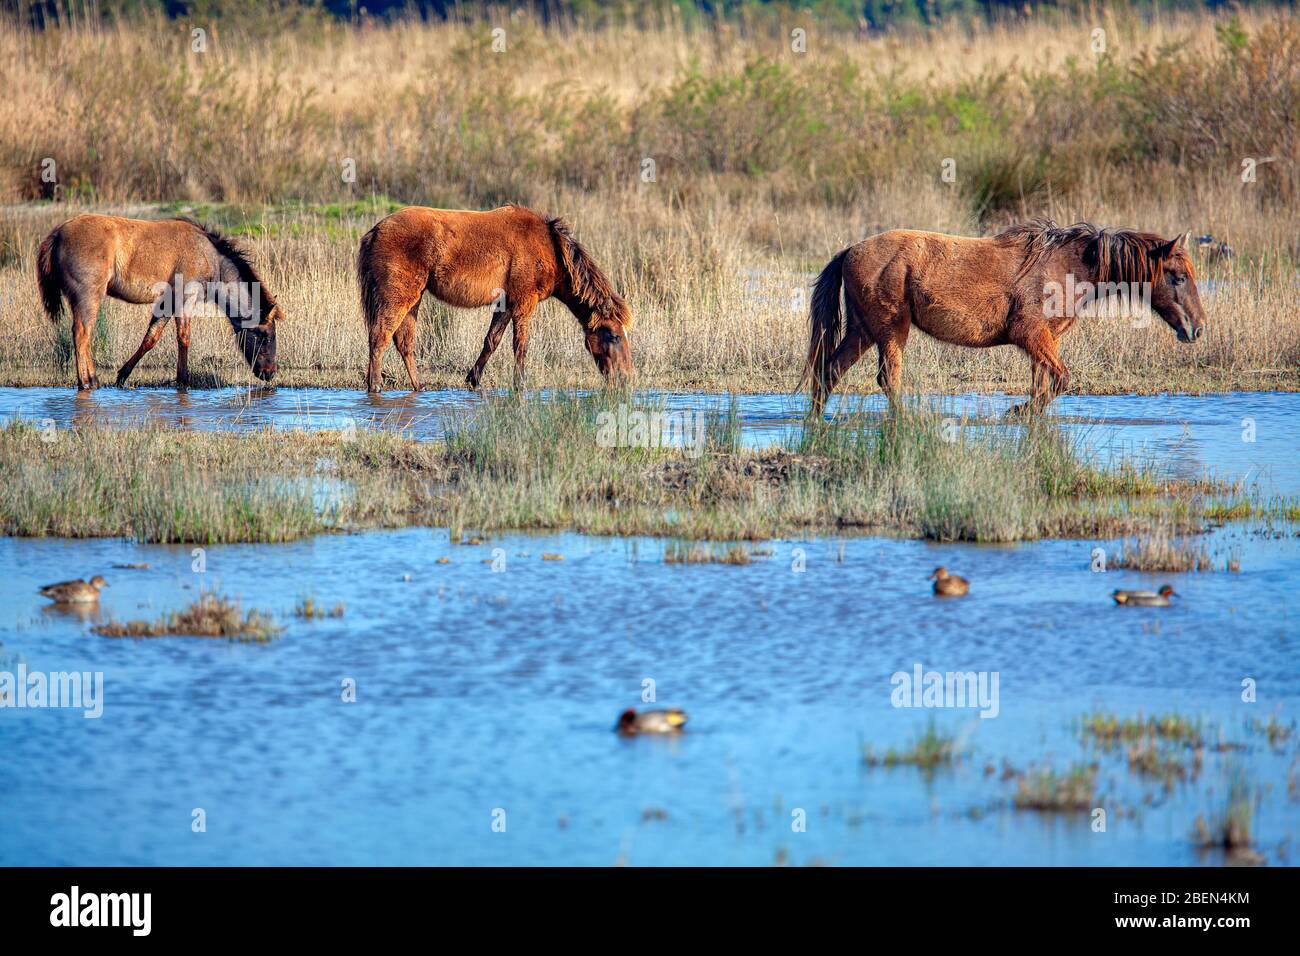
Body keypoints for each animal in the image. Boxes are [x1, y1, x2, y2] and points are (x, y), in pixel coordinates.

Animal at [36, 215, 282, 389]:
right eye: (266, 335)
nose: (270, 372)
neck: (212, 259)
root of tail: (55, 235)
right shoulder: (185, 299)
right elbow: (183, 338)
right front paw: (183, 380)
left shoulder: (167, 302)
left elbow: (150, 338)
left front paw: (122, 376)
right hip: (88, 296)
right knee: (81, 333)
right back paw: (89, 380)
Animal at [356, 204, 633, 392]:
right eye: (614, 336)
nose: (626, 377)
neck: (550, 247)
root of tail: (376, 230)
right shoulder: (524, 302)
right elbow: (520, 345)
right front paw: (519, 384)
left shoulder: (507, 304)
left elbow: (492, 341)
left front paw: (474, 379)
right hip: (399, 296)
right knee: (379, 337)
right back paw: (375, 386)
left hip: (413, 300)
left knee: (404, 342)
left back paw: (418, 387)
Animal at [802, 220, 1206, 416]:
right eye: (1178, 276)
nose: (1197, 328)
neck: (1066, 266)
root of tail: (851, 250)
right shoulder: (1031, 335)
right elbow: (1062, 380)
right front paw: (1015, 412)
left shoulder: (1044, 342)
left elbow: (1044, 386)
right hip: (890, 330)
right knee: (888, 379)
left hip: (862, 331)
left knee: (829, 372)